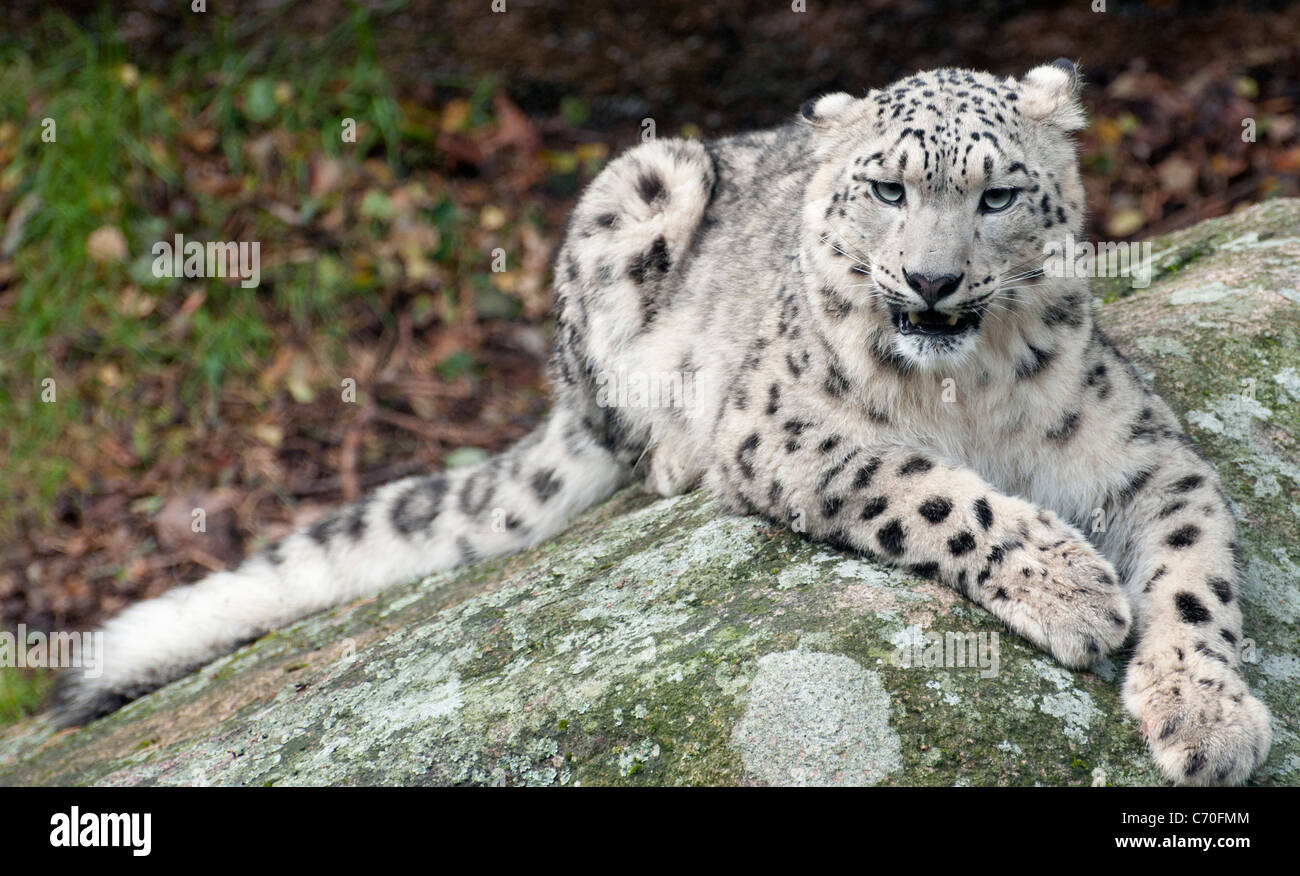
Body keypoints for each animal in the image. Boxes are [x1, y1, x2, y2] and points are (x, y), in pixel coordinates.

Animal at [52, 60, 1272, 786]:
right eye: (886, 190)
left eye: (998, 194)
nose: (930, 282)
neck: (961, 392)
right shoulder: (788, 423)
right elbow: (932, 492)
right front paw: (1071, 588)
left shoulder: (1141, 451)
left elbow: (1194, 572)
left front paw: (1205, 713)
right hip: (637, 191)